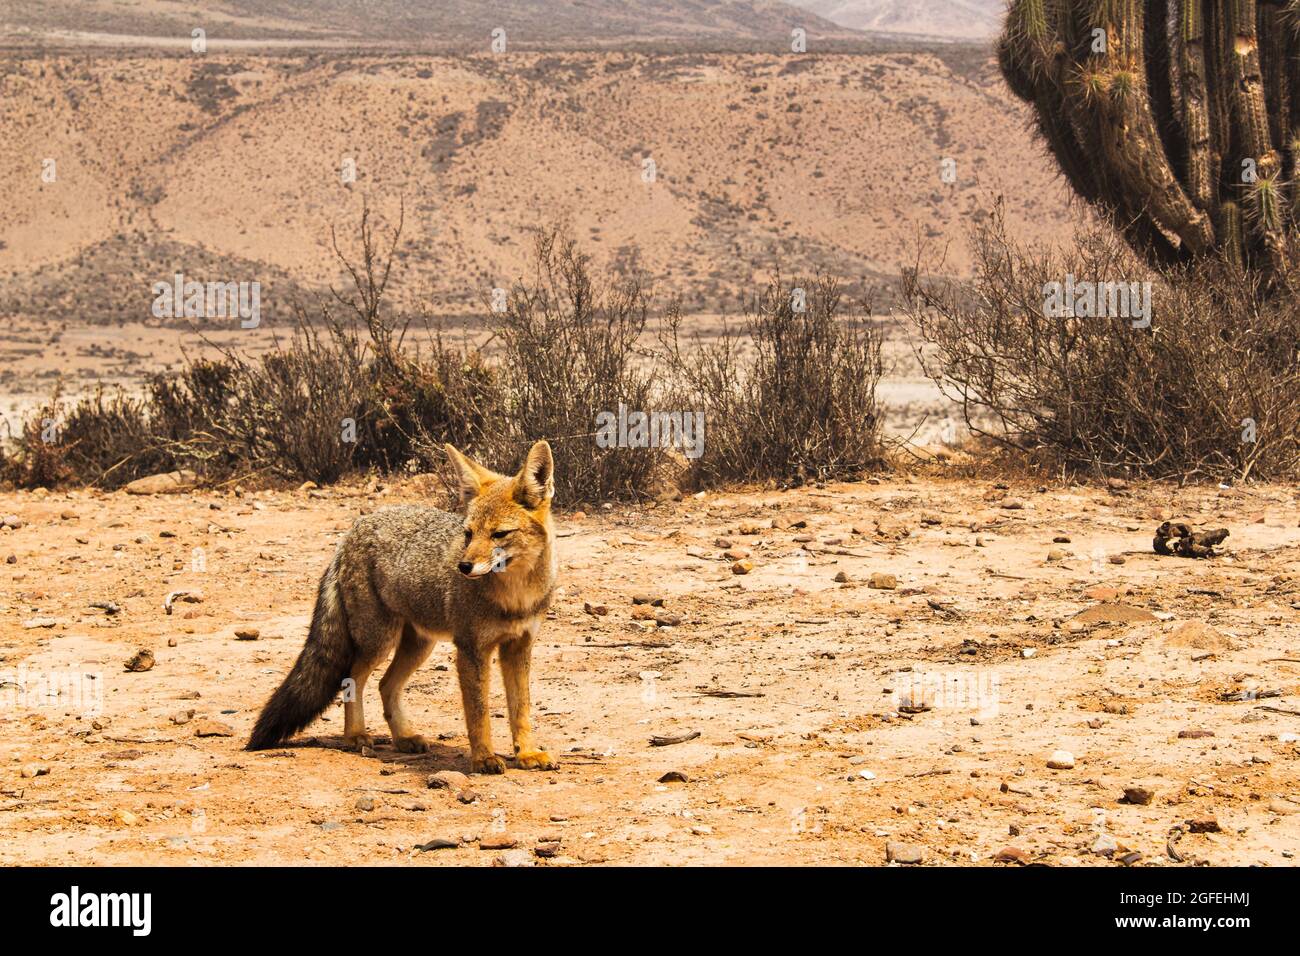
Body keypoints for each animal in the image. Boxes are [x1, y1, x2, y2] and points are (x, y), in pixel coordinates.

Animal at [245, 440, 558, 774]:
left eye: (499, 534)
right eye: (468, 534)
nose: (463, 567)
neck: (516, 596)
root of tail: (353, 529)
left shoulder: (519, 647)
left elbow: (521, 708)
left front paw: (527, 752)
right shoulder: (471, 649)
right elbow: (479, 713)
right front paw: (484, 757)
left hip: (418, 645)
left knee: (385, 685)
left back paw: (404, 737)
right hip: (379, 642)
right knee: (352, 678)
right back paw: (355, 735)